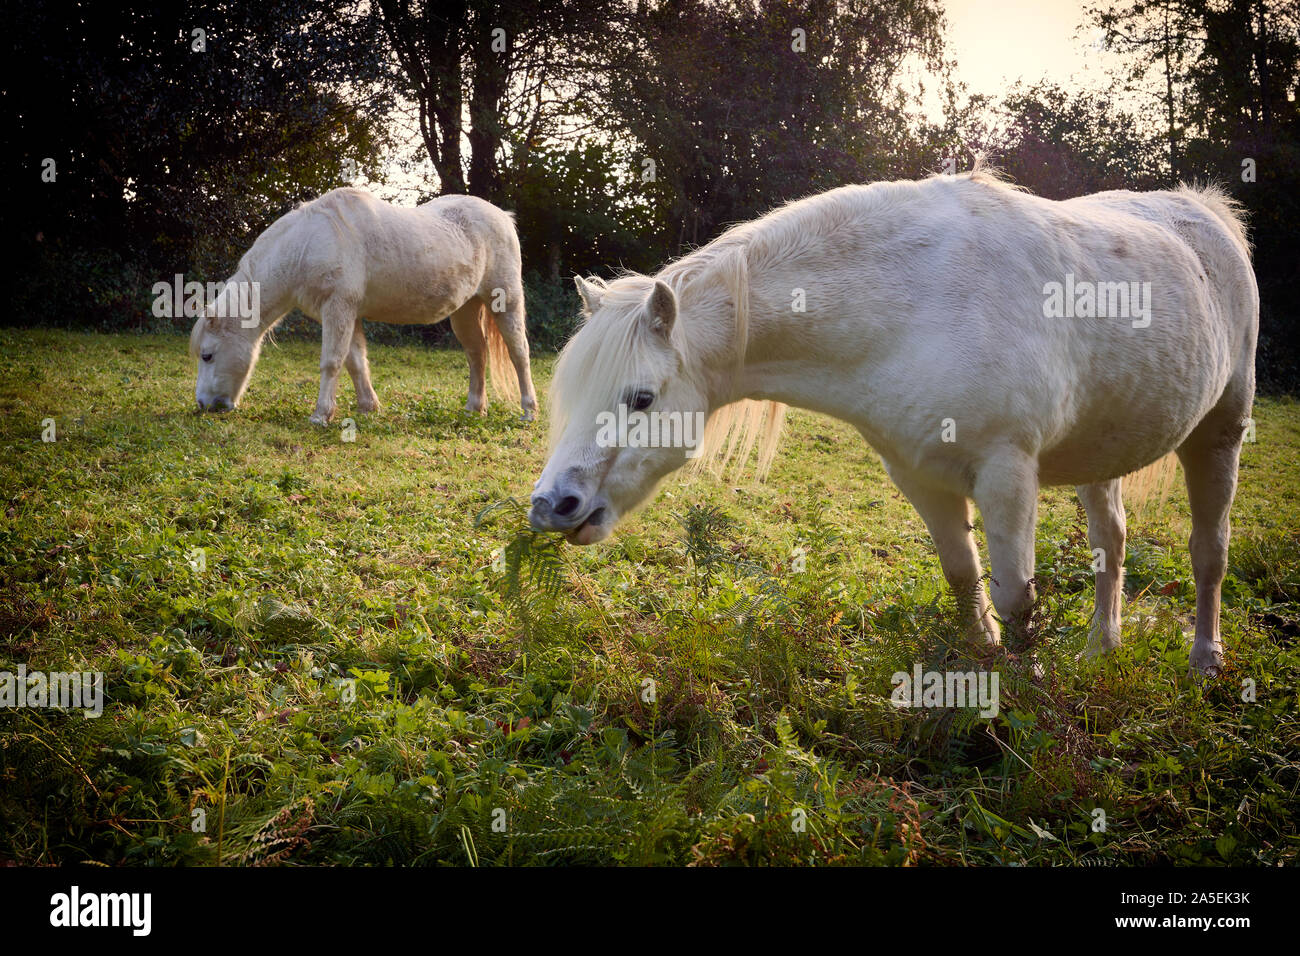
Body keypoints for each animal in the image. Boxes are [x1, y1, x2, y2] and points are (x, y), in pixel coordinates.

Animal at [190, 187, 538, 424]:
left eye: (208, 355)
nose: (205, 405)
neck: (308, 244)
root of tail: (503, 217)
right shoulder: (346, 314)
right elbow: (355, 362)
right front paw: (368, 407)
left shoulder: (338, 309)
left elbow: (332, 362)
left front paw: (320, 415)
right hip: (465, 309)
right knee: (477, 354)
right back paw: (473, 408)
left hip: (505, 302)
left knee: (519, 353)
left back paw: (528, 411)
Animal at [530, 163, 1257, 676]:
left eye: (641, 398)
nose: (551, 505)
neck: (916, 302)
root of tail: (1206, 211)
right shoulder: (919, 476)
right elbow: (964, 580)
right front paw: (986, 670)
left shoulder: (1006, 473)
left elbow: (1017, 598)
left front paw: (1031, 696)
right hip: (1099, 455)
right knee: (1113, 543)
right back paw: (1101, 648)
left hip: (1220, 434)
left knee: (1208, 551)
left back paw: (1205, 659)